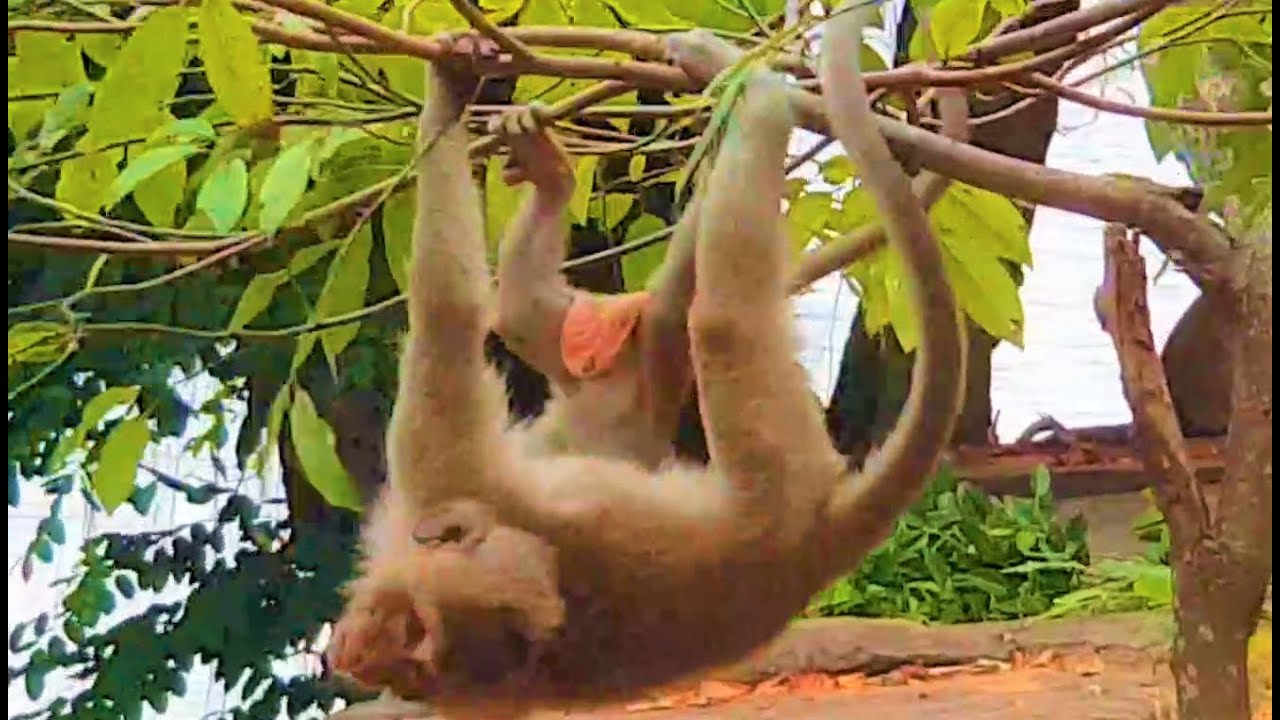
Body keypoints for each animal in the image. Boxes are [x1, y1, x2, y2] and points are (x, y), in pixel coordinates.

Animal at [326, 13, 963, 719]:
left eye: (404, 627)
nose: (348, 651)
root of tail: (818, 547)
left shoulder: (446, 473)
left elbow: (451, 311)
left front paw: (452, 93)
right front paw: (455, 87)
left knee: (682, 327)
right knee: (690, 326)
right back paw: (744, 101)